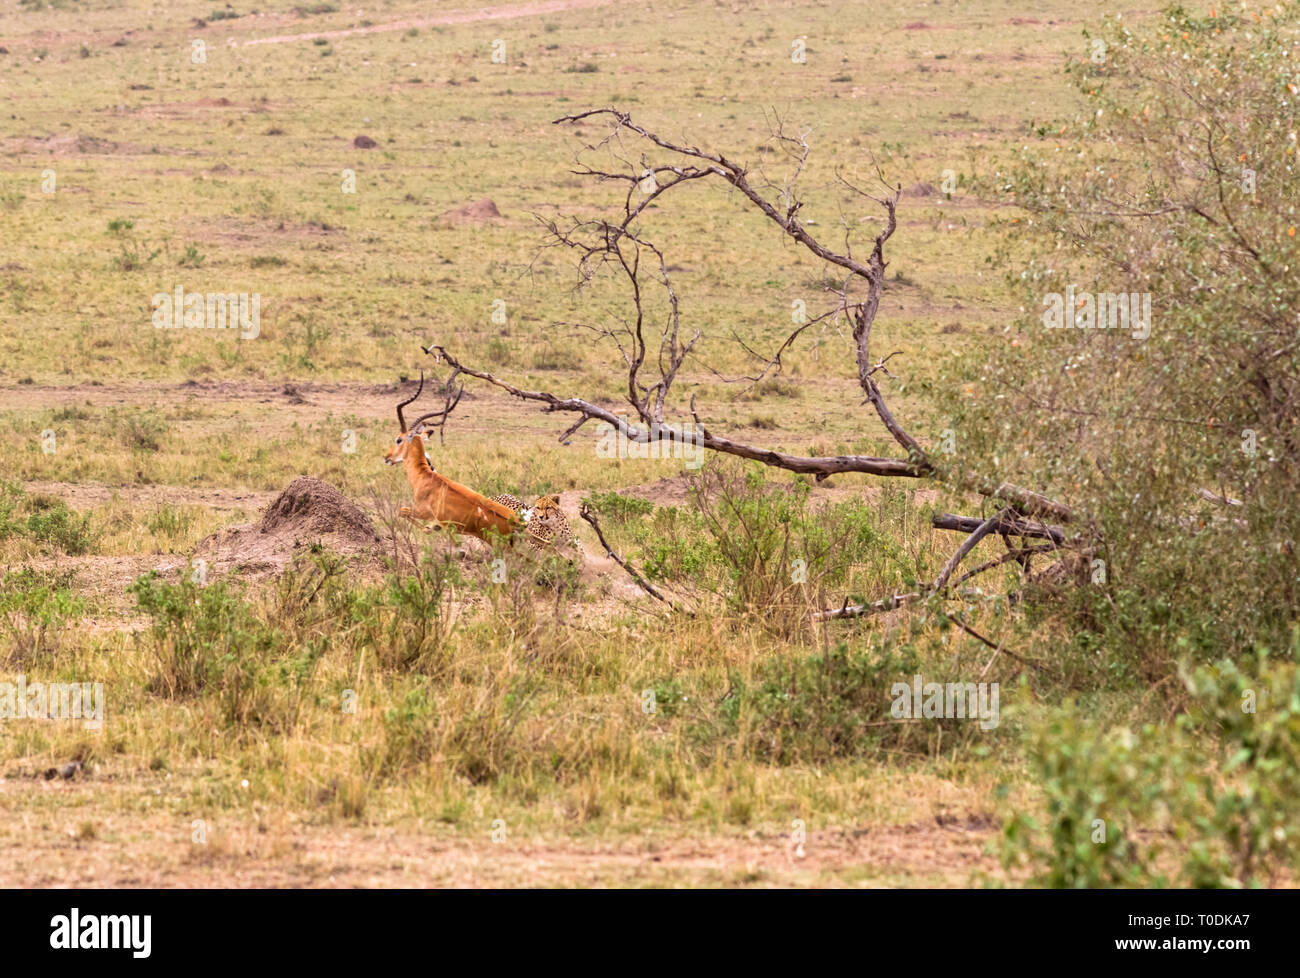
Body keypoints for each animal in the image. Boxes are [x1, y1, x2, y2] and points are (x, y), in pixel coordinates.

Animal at [384, 372, 522, 543]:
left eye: (398, 439)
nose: (387, 457)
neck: (425, 477)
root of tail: (515, 521)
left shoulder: (422, 512)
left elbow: (403, 511)